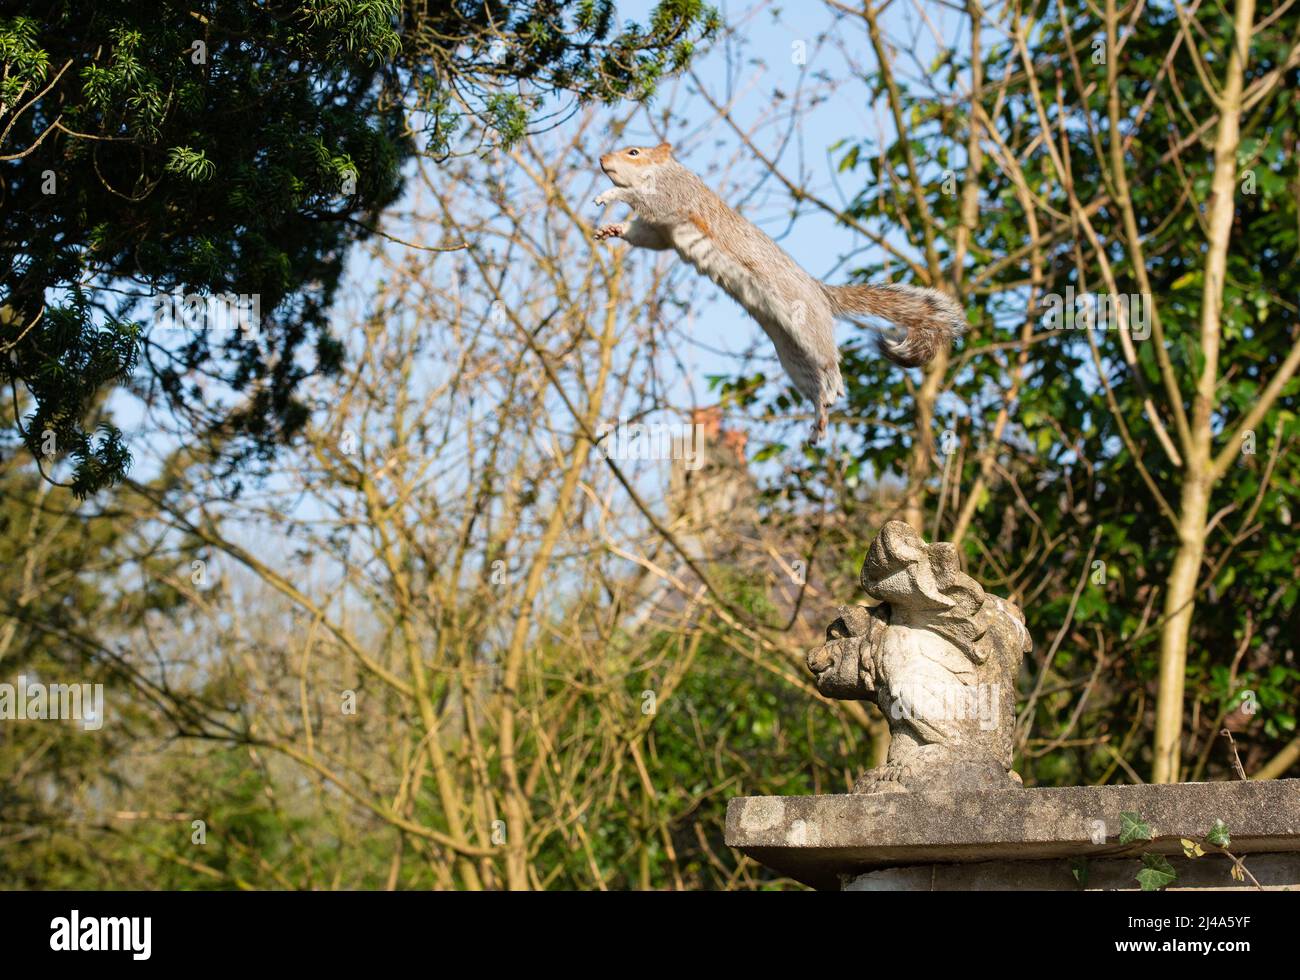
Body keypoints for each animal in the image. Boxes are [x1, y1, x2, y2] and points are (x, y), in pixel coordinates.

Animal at [593, 142, 964, 442]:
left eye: (634, 152)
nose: (601, 159)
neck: (662, 172)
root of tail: (819, 293)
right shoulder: (660, 231)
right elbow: (643, 236)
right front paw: (611, 229)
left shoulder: (674, 199)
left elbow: (642, 199)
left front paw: (610, 196)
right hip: (793, 355)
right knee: (815, 385)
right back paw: (820, 418)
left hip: (810, 326)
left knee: (831, 362)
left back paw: (834, 385)